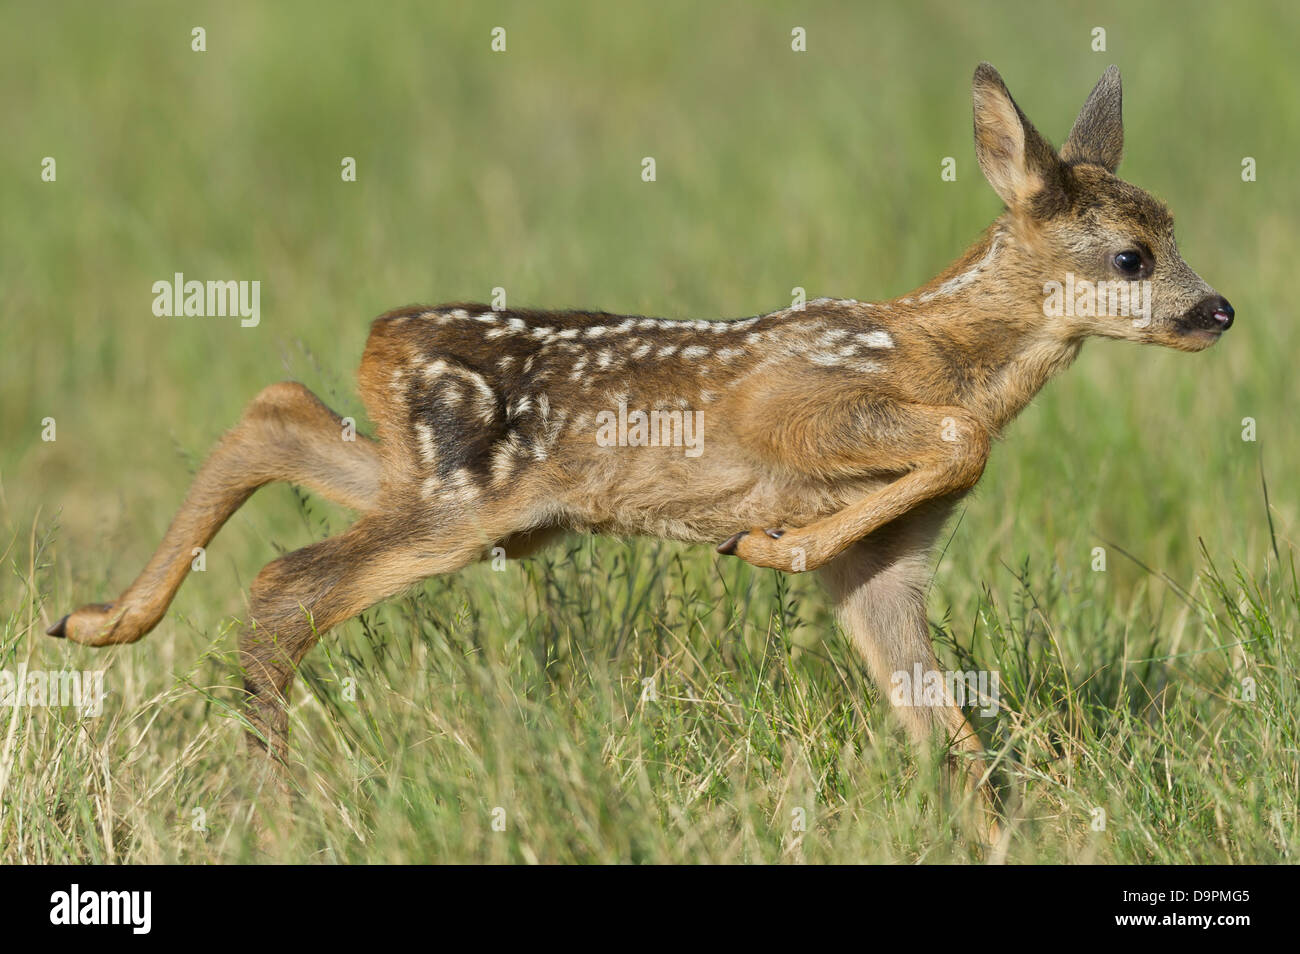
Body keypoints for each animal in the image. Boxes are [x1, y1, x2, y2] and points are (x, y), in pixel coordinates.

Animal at [47, 64, 1232, 839]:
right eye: (1131, 256)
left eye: (1173, 233)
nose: (1217, 310)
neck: (938, 347)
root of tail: (385, 339)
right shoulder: (787, 401)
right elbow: (962, 439)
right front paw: (764, 542)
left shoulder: (886, 563)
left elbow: (943, 729)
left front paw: (996, 837)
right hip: (457, 504)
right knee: (287, 584)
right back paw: (272, 807)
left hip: (454, 493)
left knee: (276, 410)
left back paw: (97, 620)